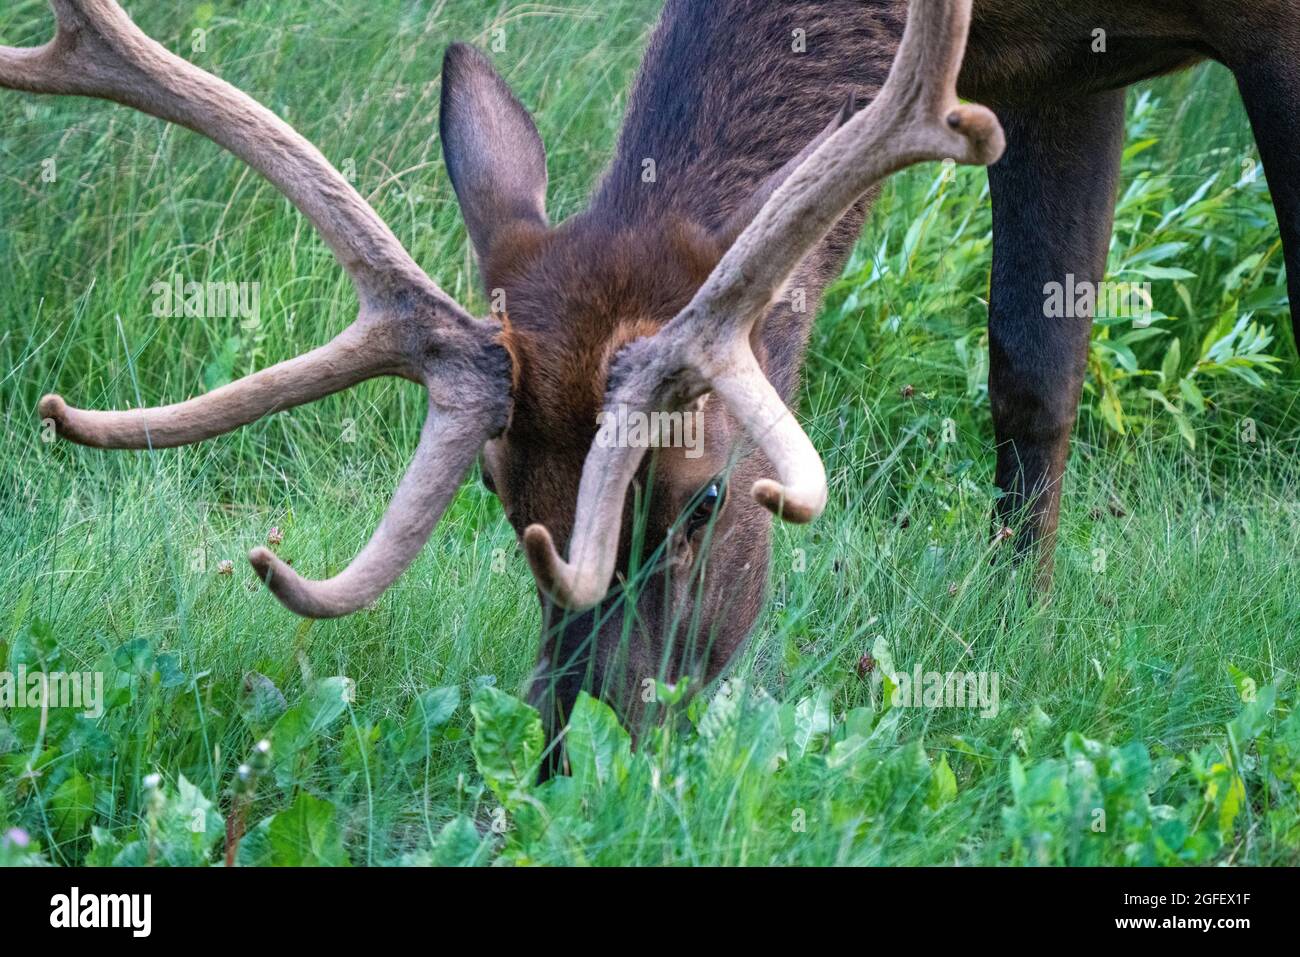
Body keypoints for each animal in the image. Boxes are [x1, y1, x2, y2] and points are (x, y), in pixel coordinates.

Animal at [3, 0, 1293, 762]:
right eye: (496, 491)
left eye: (709, 496)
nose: (570, 754)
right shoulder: (1051, 75)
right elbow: (1033, 368)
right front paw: (1017, 622)